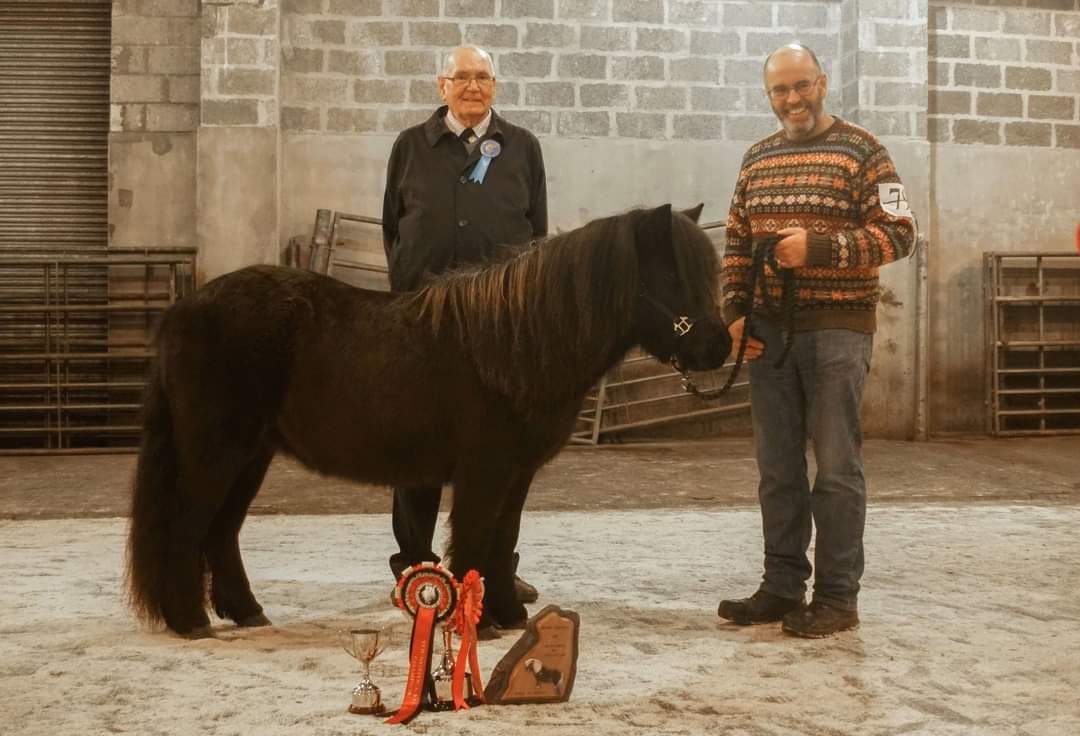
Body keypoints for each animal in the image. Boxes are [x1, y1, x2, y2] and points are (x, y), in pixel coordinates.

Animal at [125, 203, 732, 638]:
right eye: (674, 275)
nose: (720, 345)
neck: (517, 343)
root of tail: (181, 312)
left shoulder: (518, 474)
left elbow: (503, 539)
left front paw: (508, 614)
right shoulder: (484, 471)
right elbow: (475, 538)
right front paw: (479, 625)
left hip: (251, 456)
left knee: (221, 531)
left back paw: (247, 612)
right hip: (216, 452)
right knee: (188, 525)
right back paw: (189, 621)